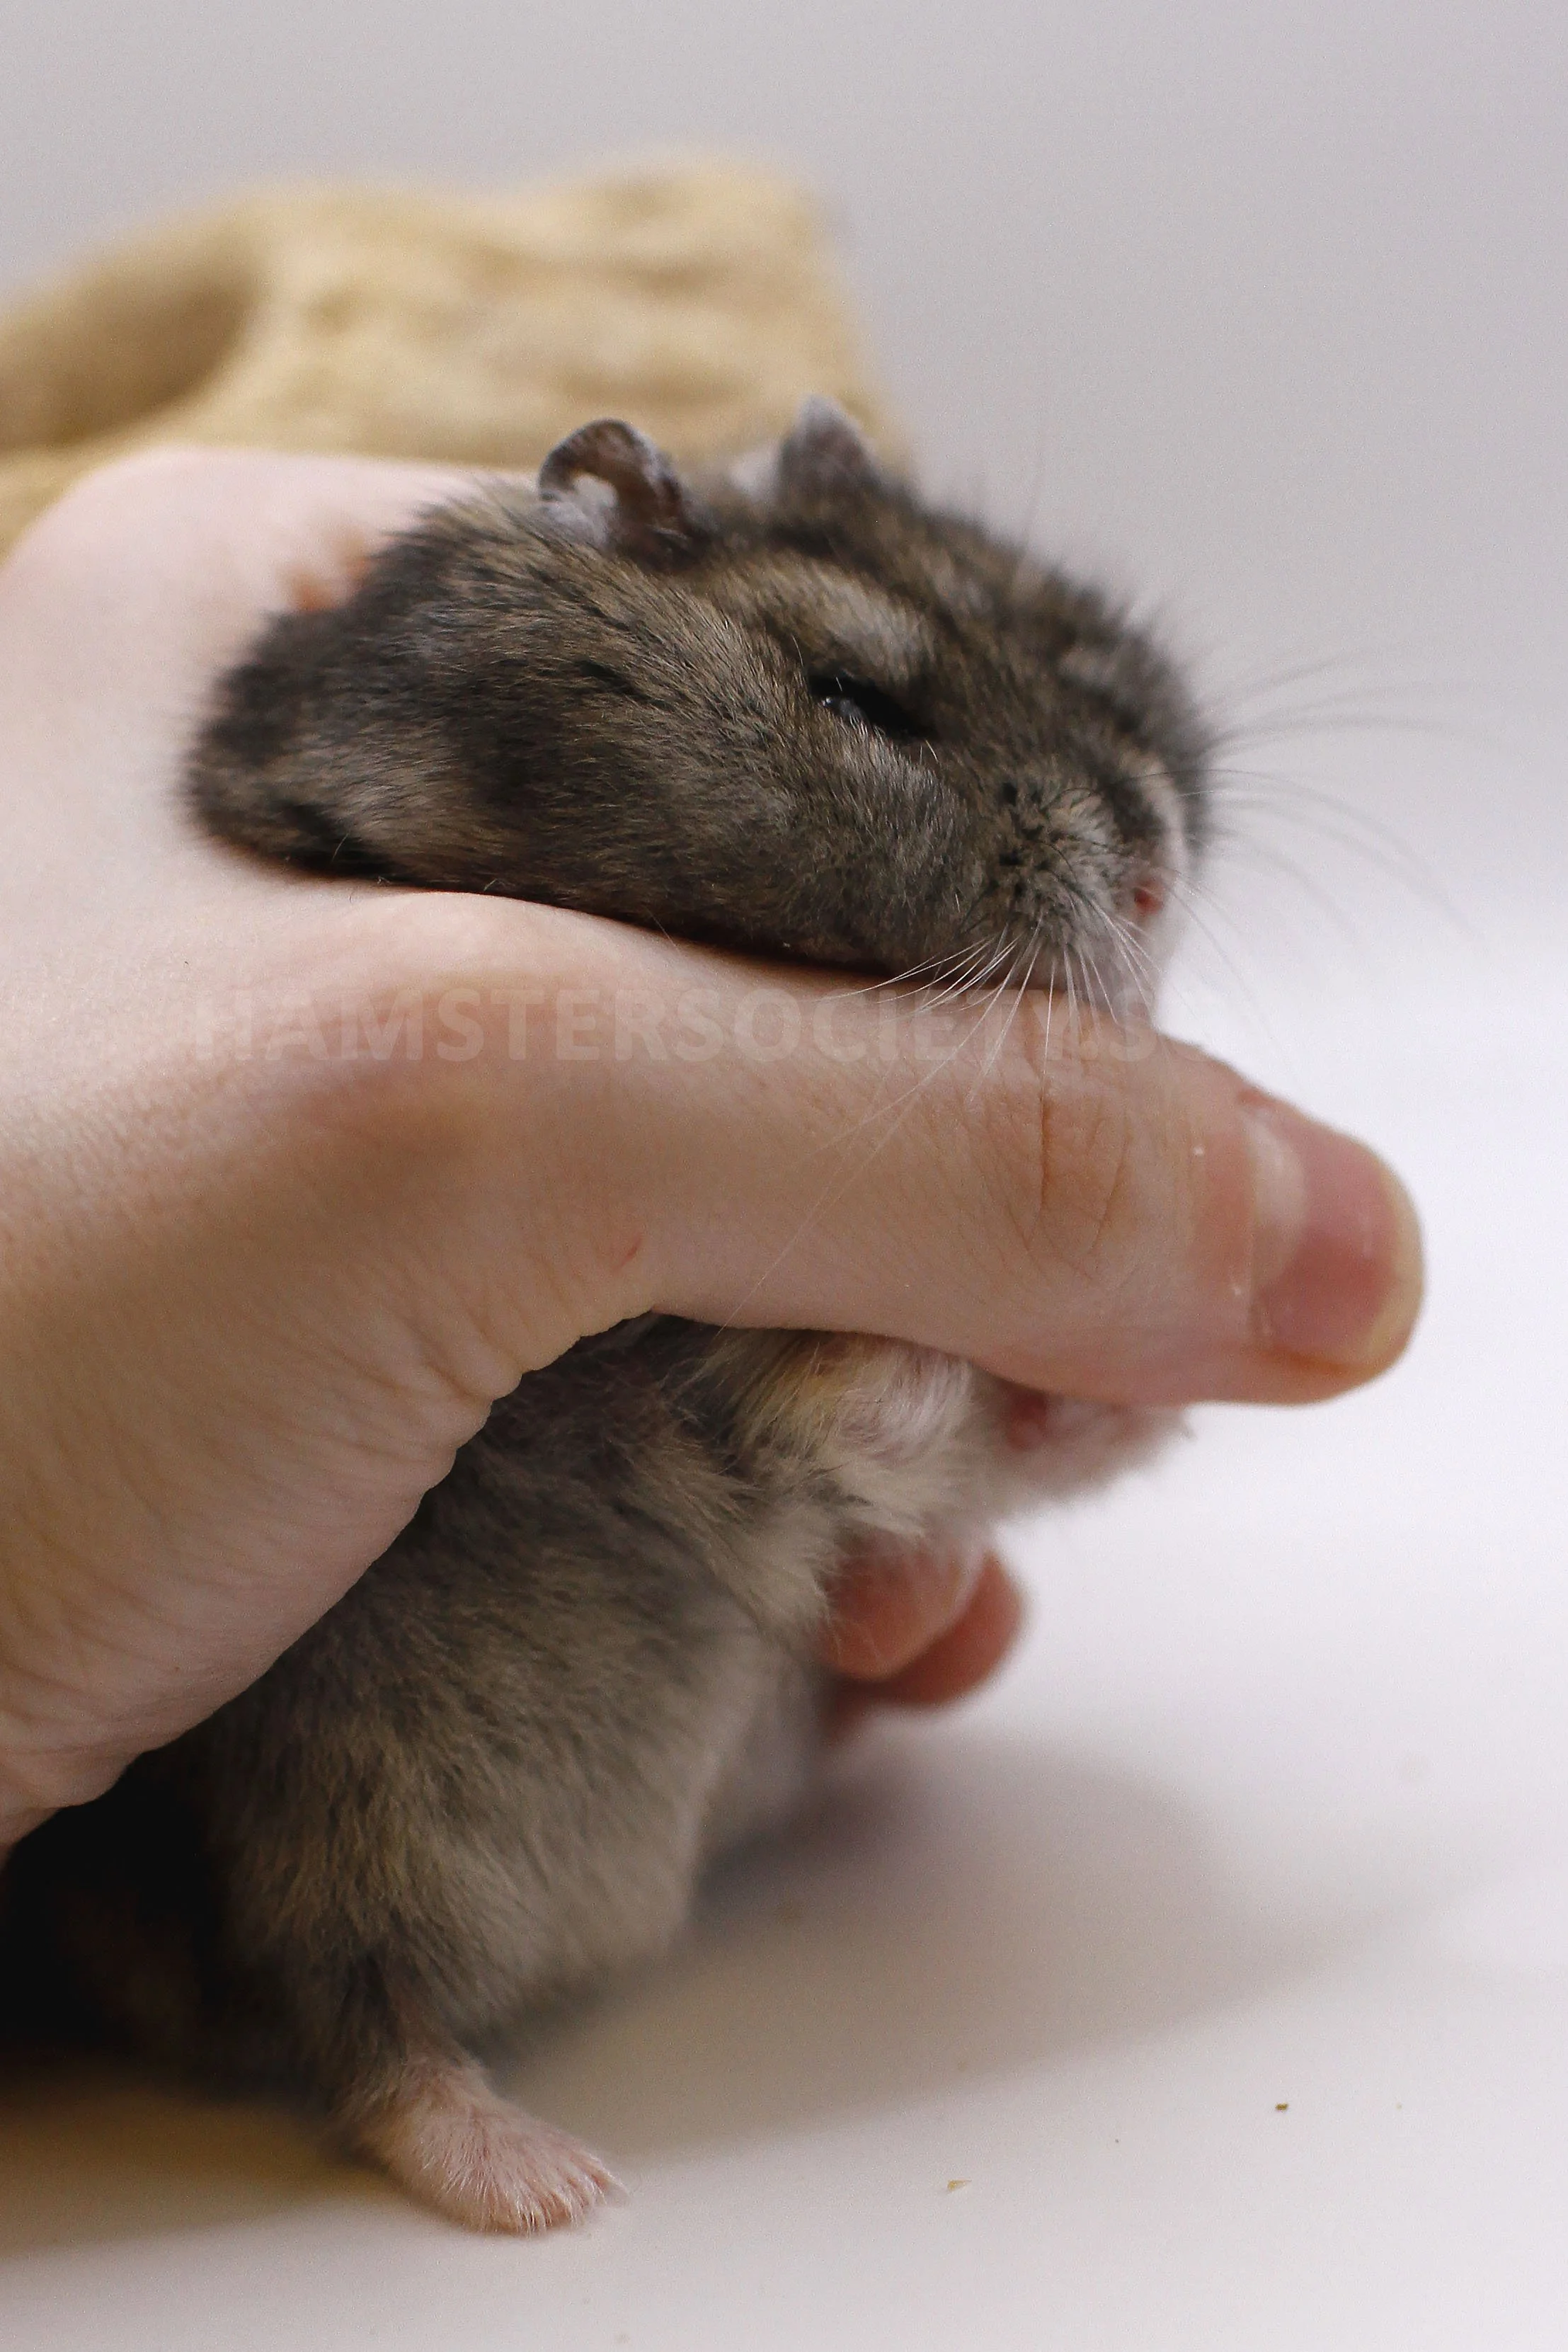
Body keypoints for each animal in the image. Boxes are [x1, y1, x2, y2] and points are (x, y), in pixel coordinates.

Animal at [0, 401, 1210, 2234]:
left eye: (1088, 659)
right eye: (858, 701)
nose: (1152, 882)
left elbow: (944, 1457)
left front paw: (1100, 1395)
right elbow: (810, 1394)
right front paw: (903, 1352)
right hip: (327, 1807)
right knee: (359, 2028)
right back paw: (544, 2182)